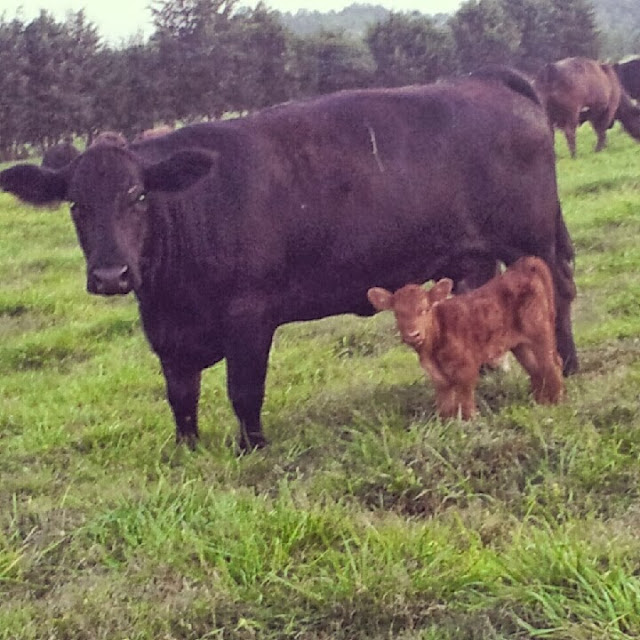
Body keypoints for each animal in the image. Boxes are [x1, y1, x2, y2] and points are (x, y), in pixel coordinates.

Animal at [367, 256, 565, 419]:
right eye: (398, 313)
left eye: (425, 309)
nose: (412, 334)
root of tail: (526, 265)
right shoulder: (438, 378)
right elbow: (445, 407)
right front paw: (446, 426)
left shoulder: (466, 369)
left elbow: (465, 402)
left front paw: (468, 424)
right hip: (521, 343)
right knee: (535, 368)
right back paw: (539, 402)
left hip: (540, 333)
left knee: (553, 364)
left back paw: (555, 404)